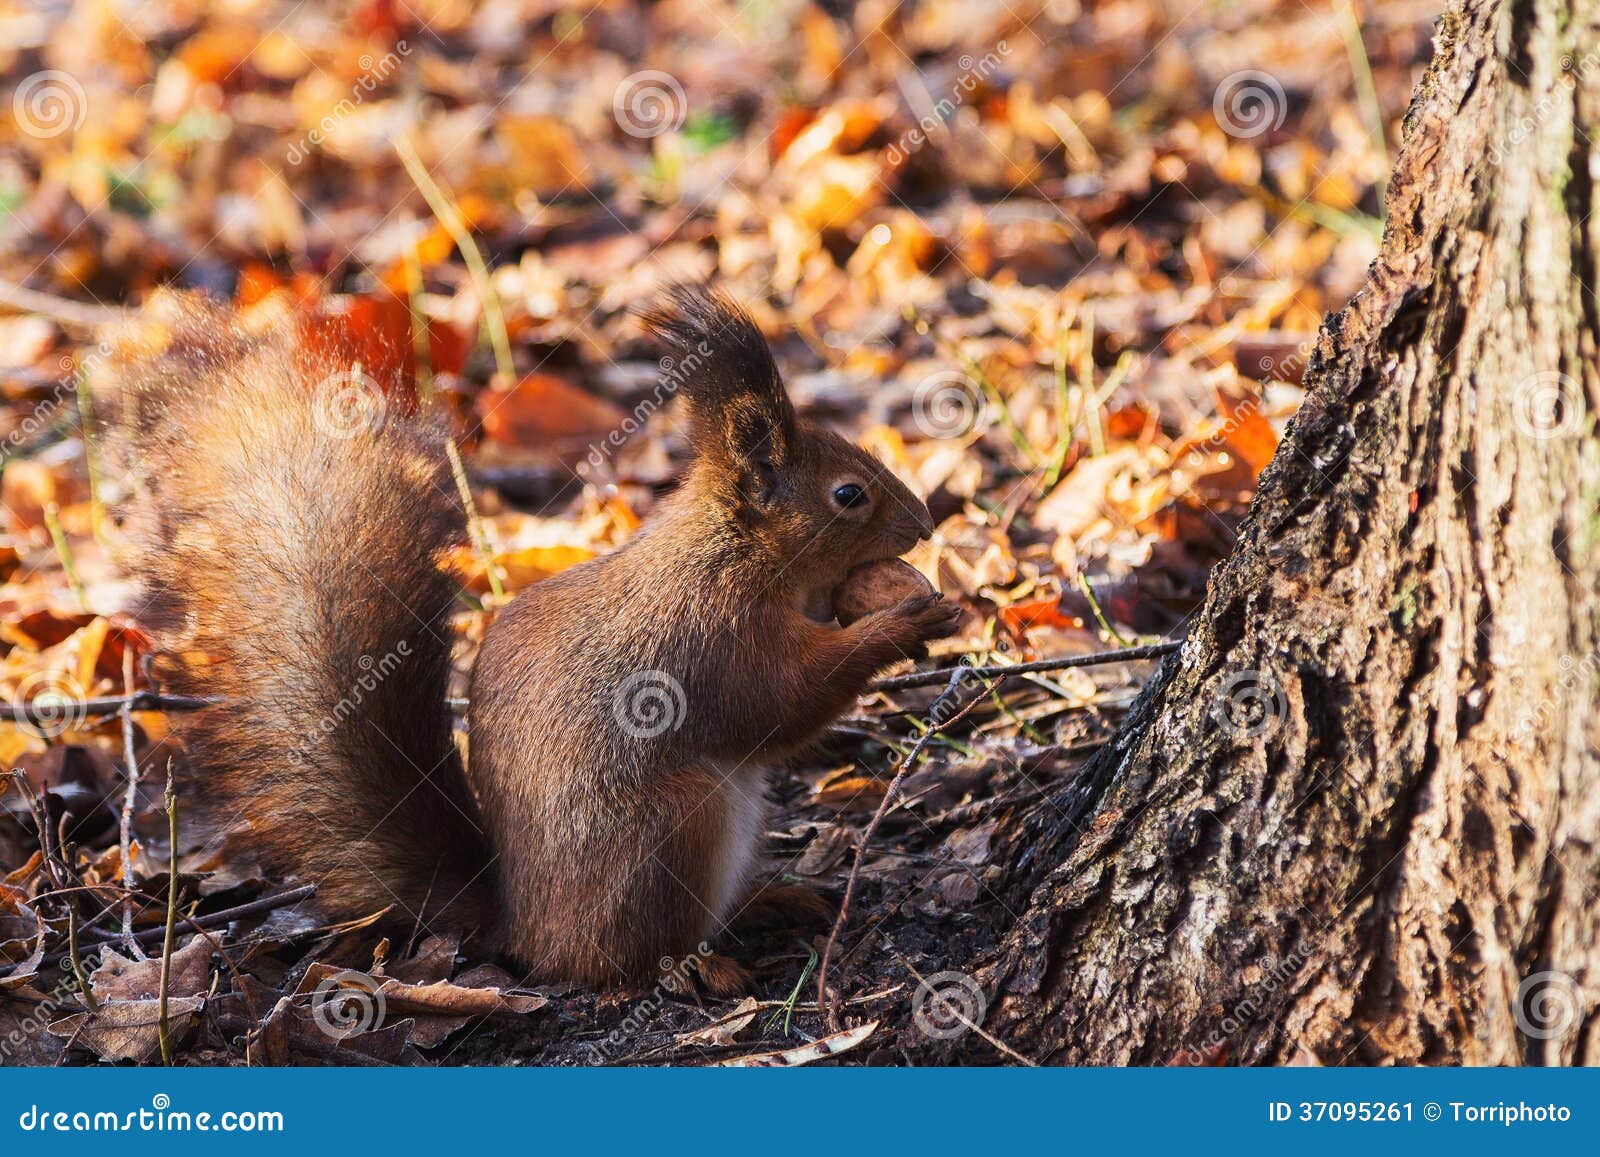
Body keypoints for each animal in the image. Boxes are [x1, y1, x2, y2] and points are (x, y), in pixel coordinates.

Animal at [119, 285, 960, 993]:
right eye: (848, 495)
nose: (926, 523)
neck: (736, 554)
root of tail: (521, 926)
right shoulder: (712, 636)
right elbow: (783, 702)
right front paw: (906, 622)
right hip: (673, 826)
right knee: (626, 958)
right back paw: (699, 966)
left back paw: (771, 900)